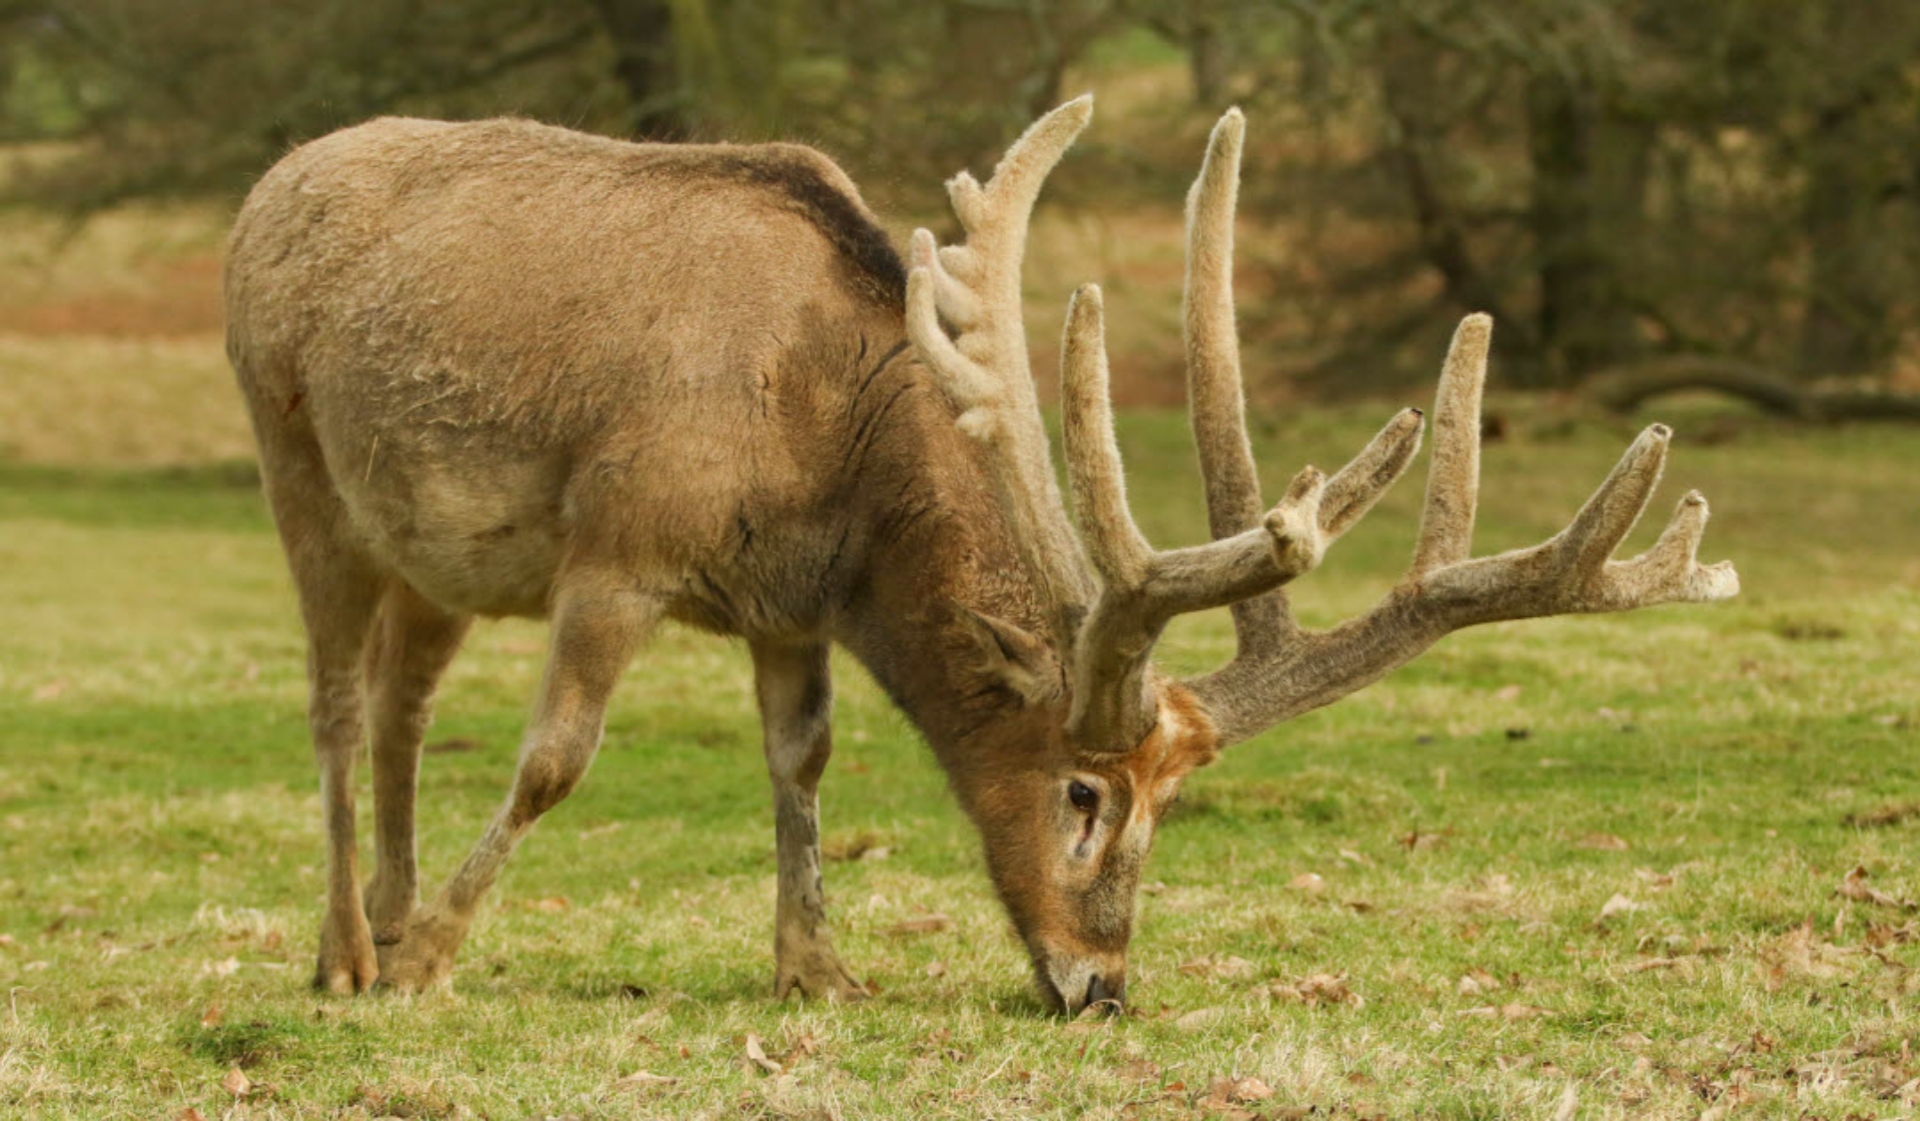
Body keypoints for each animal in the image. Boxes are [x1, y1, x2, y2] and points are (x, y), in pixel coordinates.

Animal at [225, 95, 1737, 1015]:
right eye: (1083, 791)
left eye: (1172, 800)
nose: (1100, 984)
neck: (827, 441)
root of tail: (263, 187)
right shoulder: (621, 544)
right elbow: (555, 757)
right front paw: (434, 958)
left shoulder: (789, 602)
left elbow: (803, 757)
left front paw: (817, 965)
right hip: (294, 453)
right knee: (336, 703)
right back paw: (351, 951)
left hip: (435, 556)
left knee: (405, 706)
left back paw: (371, 919)